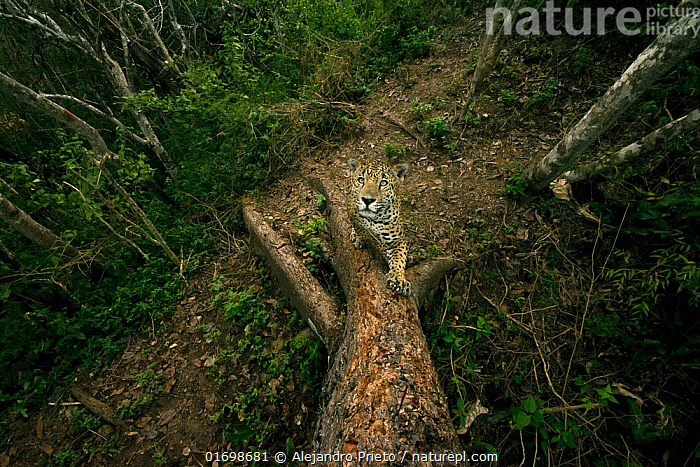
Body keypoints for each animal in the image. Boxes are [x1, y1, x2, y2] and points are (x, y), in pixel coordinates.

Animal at [347, 157, 411, 296]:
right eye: (361, 180)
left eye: (383, 183)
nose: (367, 200)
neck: (374, 218)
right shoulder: (351, 210)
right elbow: (359, 227)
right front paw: (362, 239)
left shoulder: (397, 241)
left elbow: (399, 259)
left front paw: (398, 279)